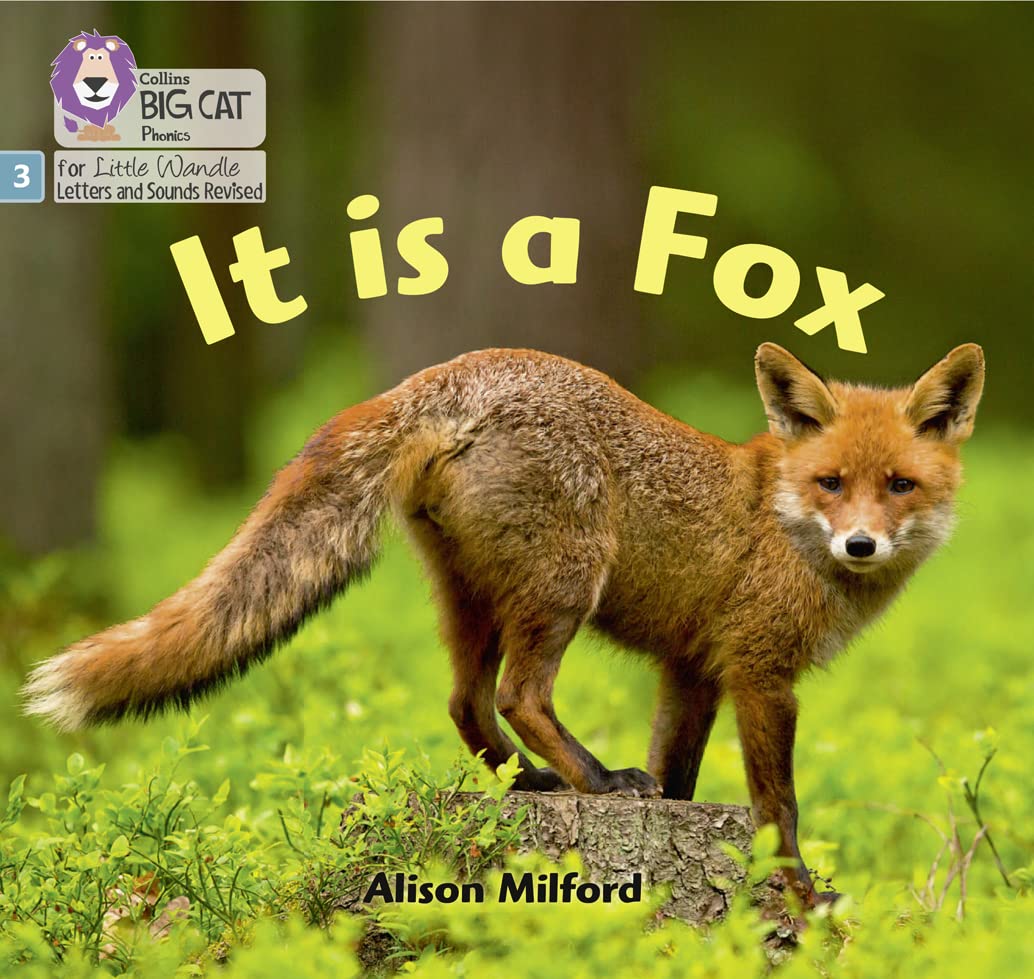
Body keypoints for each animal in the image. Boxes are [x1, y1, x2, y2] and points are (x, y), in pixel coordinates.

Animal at [22, 341, 984, 905]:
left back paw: (531, 784)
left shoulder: (691, 670)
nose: (860, 543)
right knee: (522, 694)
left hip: (473, 600)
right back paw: (595, 781)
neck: (779, 518)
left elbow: (681, 777)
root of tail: (446, 372)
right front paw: (798, 894)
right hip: (562, 586)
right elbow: (778, 804)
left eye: (900, 484)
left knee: (464, 703)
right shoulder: (759, 670)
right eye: (833, 483)